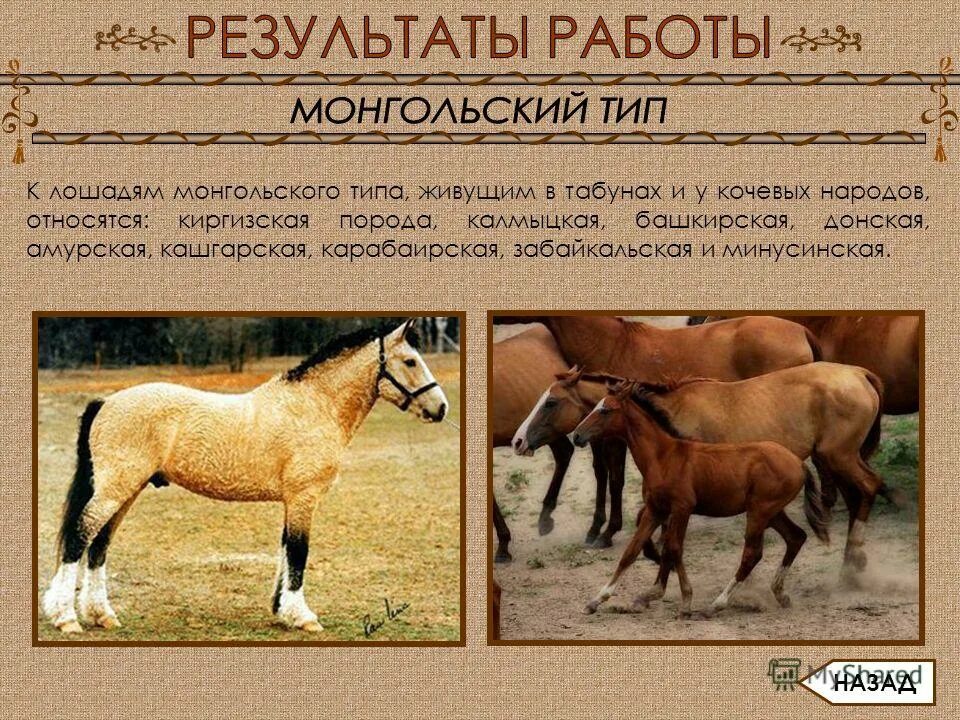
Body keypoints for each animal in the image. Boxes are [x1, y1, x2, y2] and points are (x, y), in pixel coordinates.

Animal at [43, 319, 449, 634]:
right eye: (410, 360)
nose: (441, 408)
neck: (312, 407)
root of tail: (107, 402)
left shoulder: (292, 501)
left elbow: (286, 550)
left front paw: (283, 611)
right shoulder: (303, 498)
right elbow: (299, 553)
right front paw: (304, 617)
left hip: (127, 490)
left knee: (99, 544)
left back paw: (102, 615)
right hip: (115, 489)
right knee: (80, 536)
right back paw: (66, 618)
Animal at [513, 363, 885, 575]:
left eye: (551, 402)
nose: (518, 440)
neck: (671, 414)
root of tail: (859, 374)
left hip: (838, 457)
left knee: (870, 487)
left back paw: (853, 561)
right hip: (834, 459)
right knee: (858, 496)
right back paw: (854, 561)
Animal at [574, 382, 830, 617]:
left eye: (606, 410)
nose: (577, 435)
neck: (663, 457)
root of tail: (798, 463)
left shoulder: (682, 508)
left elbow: (673, 548)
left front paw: (683, 600)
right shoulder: (656, 509)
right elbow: (633, 551)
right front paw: (598, 600)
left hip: (759, 512)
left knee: (752, 553)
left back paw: (717, 604)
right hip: (772, 512)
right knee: (796, 537)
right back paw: (780, 593)